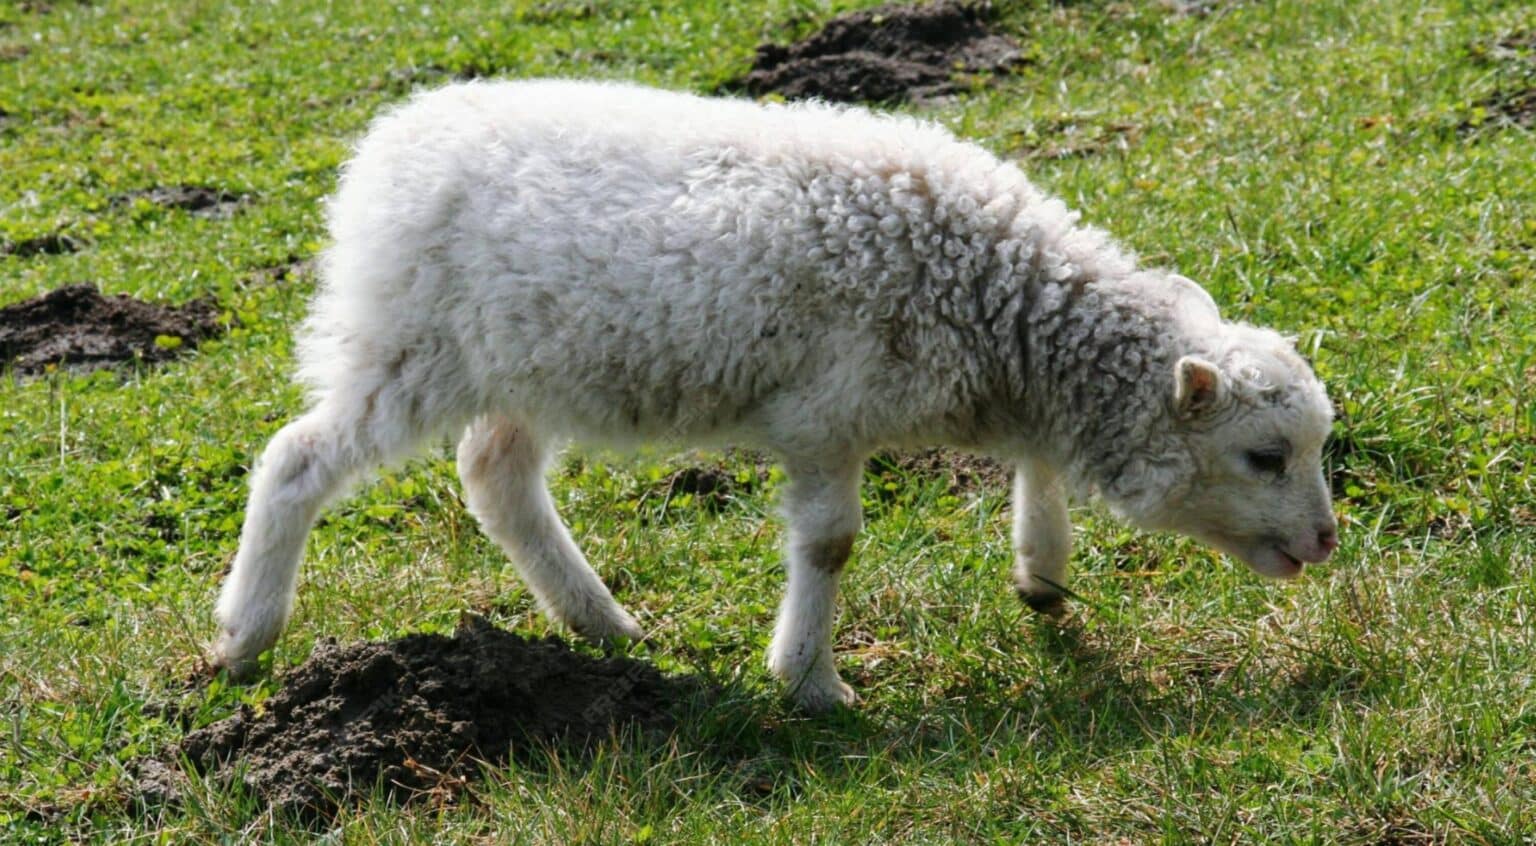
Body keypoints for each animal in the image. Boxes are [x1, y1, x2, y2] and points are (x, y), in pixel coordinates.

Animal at [212, 80, 1339, 711]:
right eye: (1263, 457)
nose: (1326, 543)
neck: (989, 301)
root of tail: (393, 142)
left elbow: (1035, 458)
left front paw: (1042, 571)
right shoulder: (825, 415)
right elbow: (831, 546)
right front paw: (810, 682)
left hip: (521, 361)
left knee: (496, 475)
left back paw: (602, 625)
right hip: (411, 344)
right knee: (298, 459)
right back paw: (246, 633)